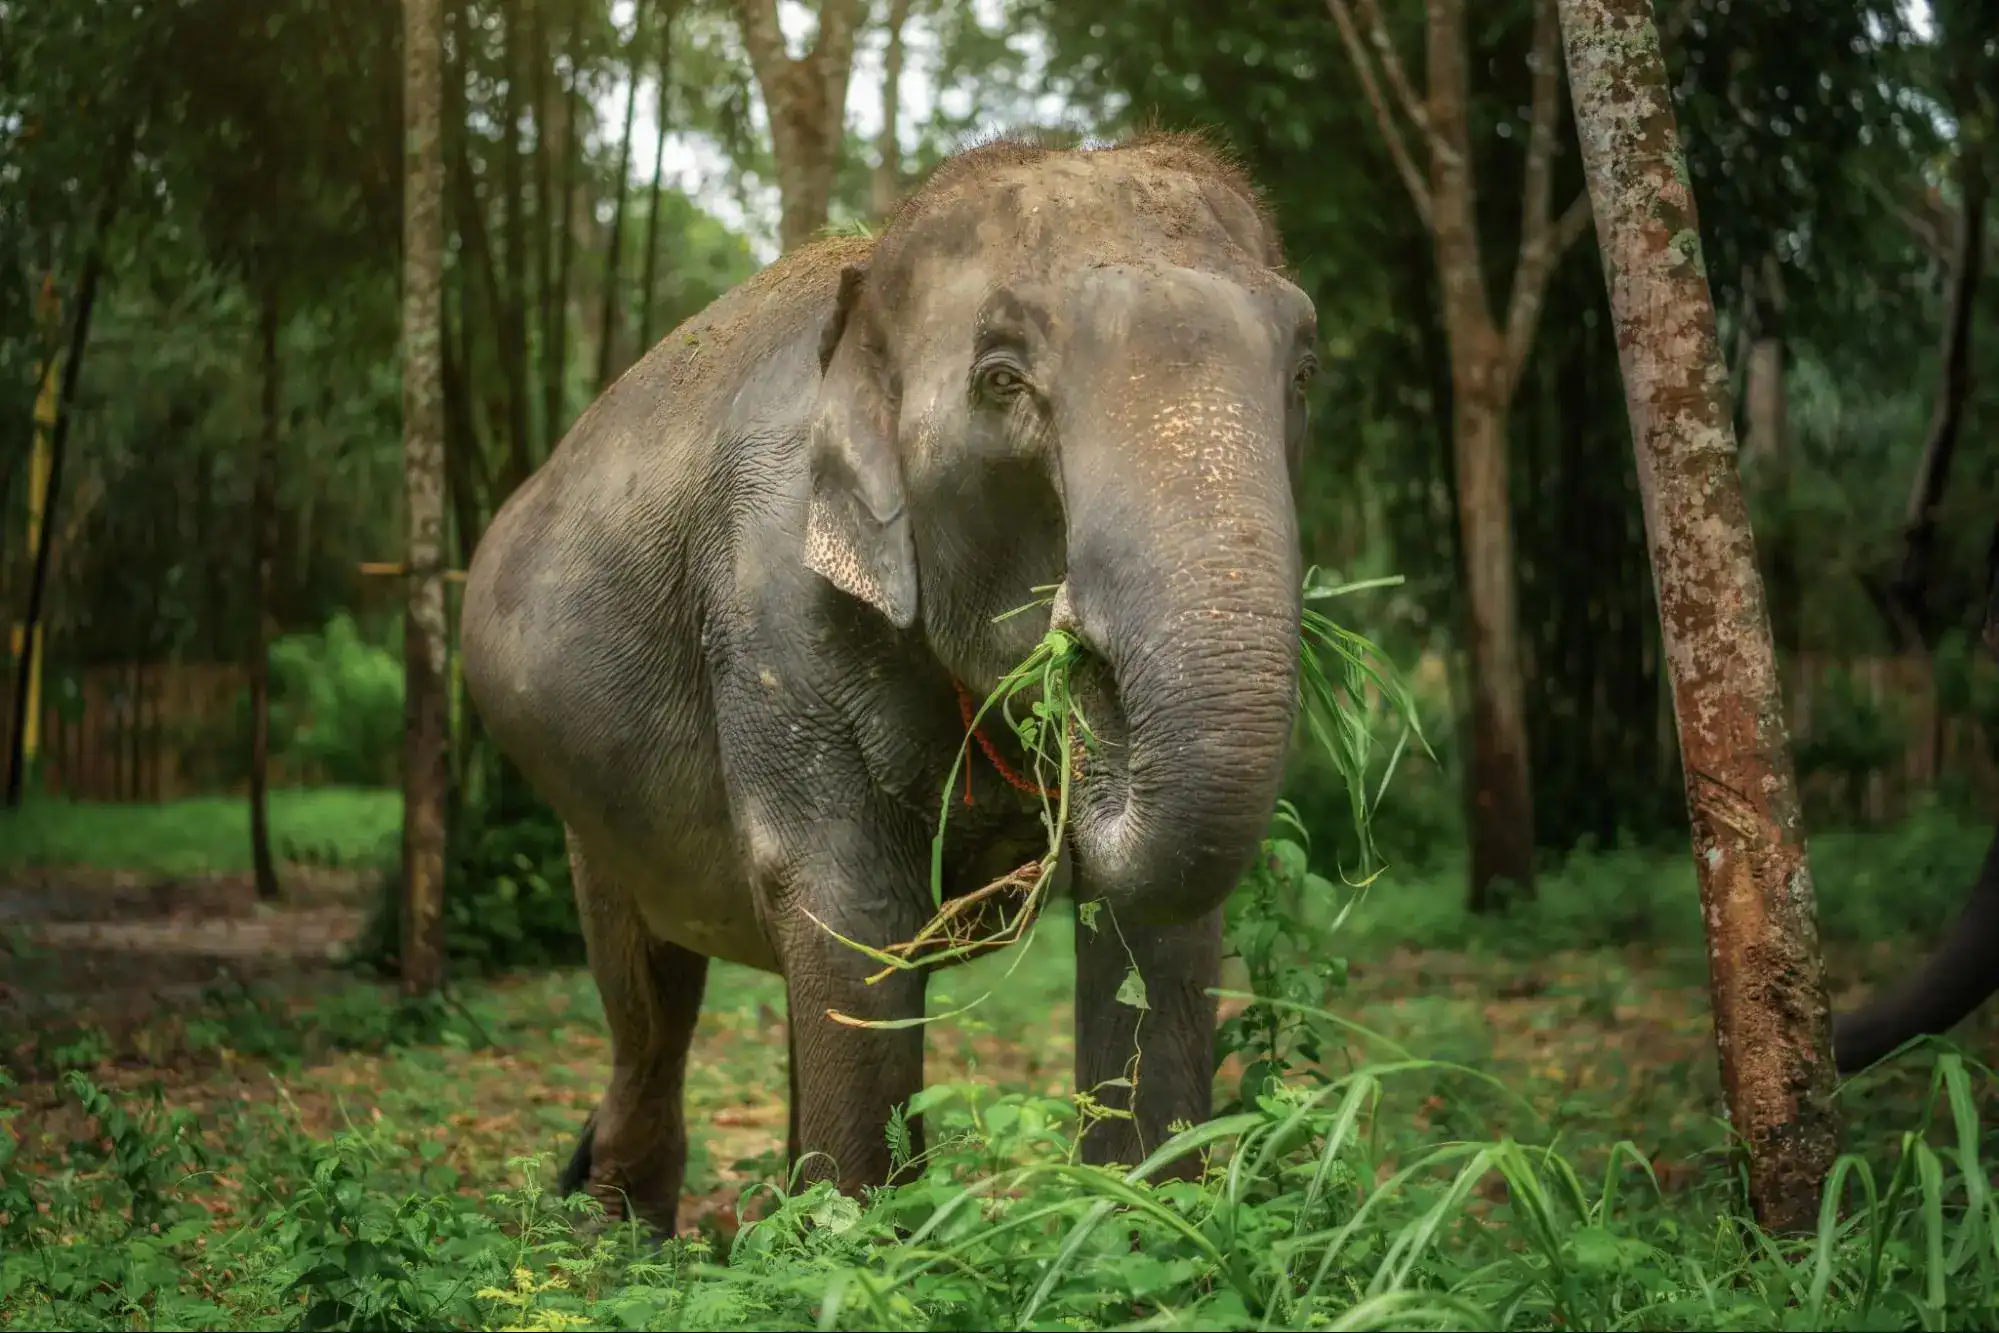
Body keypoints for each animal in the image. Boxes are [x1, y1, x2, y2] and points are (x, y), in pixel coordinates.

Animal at [459, 130, 1319, 1233]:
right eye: (1001, 380)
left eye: (1304, 371)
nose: (1082, 670)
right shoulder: (768, 593)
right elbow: (850, 905)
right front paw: (852, 1241)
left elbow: (1152, 931)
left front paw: (1140, 1231)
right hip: (585, 804)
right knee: (648, 998)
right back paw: (624, 1234)